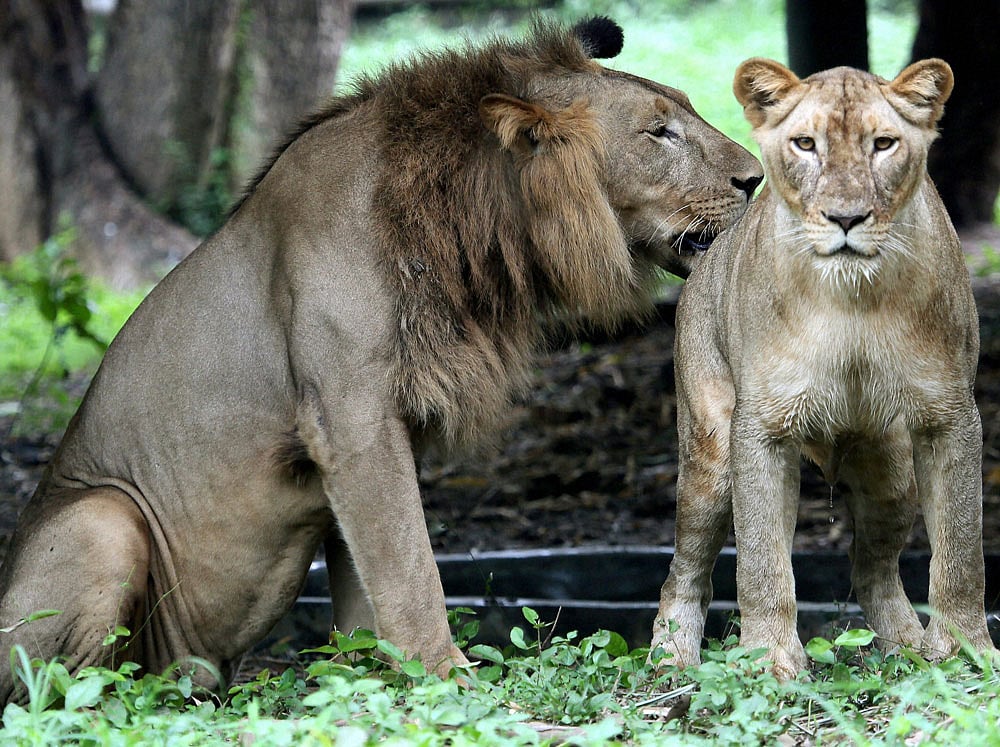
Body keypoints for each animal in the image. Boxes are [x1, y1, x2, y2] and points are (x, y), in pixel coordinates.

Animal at [0, 17, 761, 700]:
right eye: (658, 132)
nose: (756, 179)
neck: (476, 233)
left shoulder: (388, 423)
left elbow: (364, 582)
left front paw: (368, 675)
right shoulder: (353, 417)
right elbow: (408, 565)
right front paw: (450, 679)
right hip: (104, 517)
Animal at [651, 56, 996, 679]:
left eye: (883, 144)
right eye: (805, 144)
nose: (846, 218)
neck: (851, 298)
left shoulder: (950, 416)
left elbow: (962, 551)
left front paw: (965, 655)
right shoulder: (759, 429)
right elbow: (761, 561)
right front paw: (768, 661)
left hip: (893, 472)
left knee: (869, 565)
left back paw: (908, 647)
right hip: (710, 459)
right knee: (685, 569)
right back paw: (672, 660)